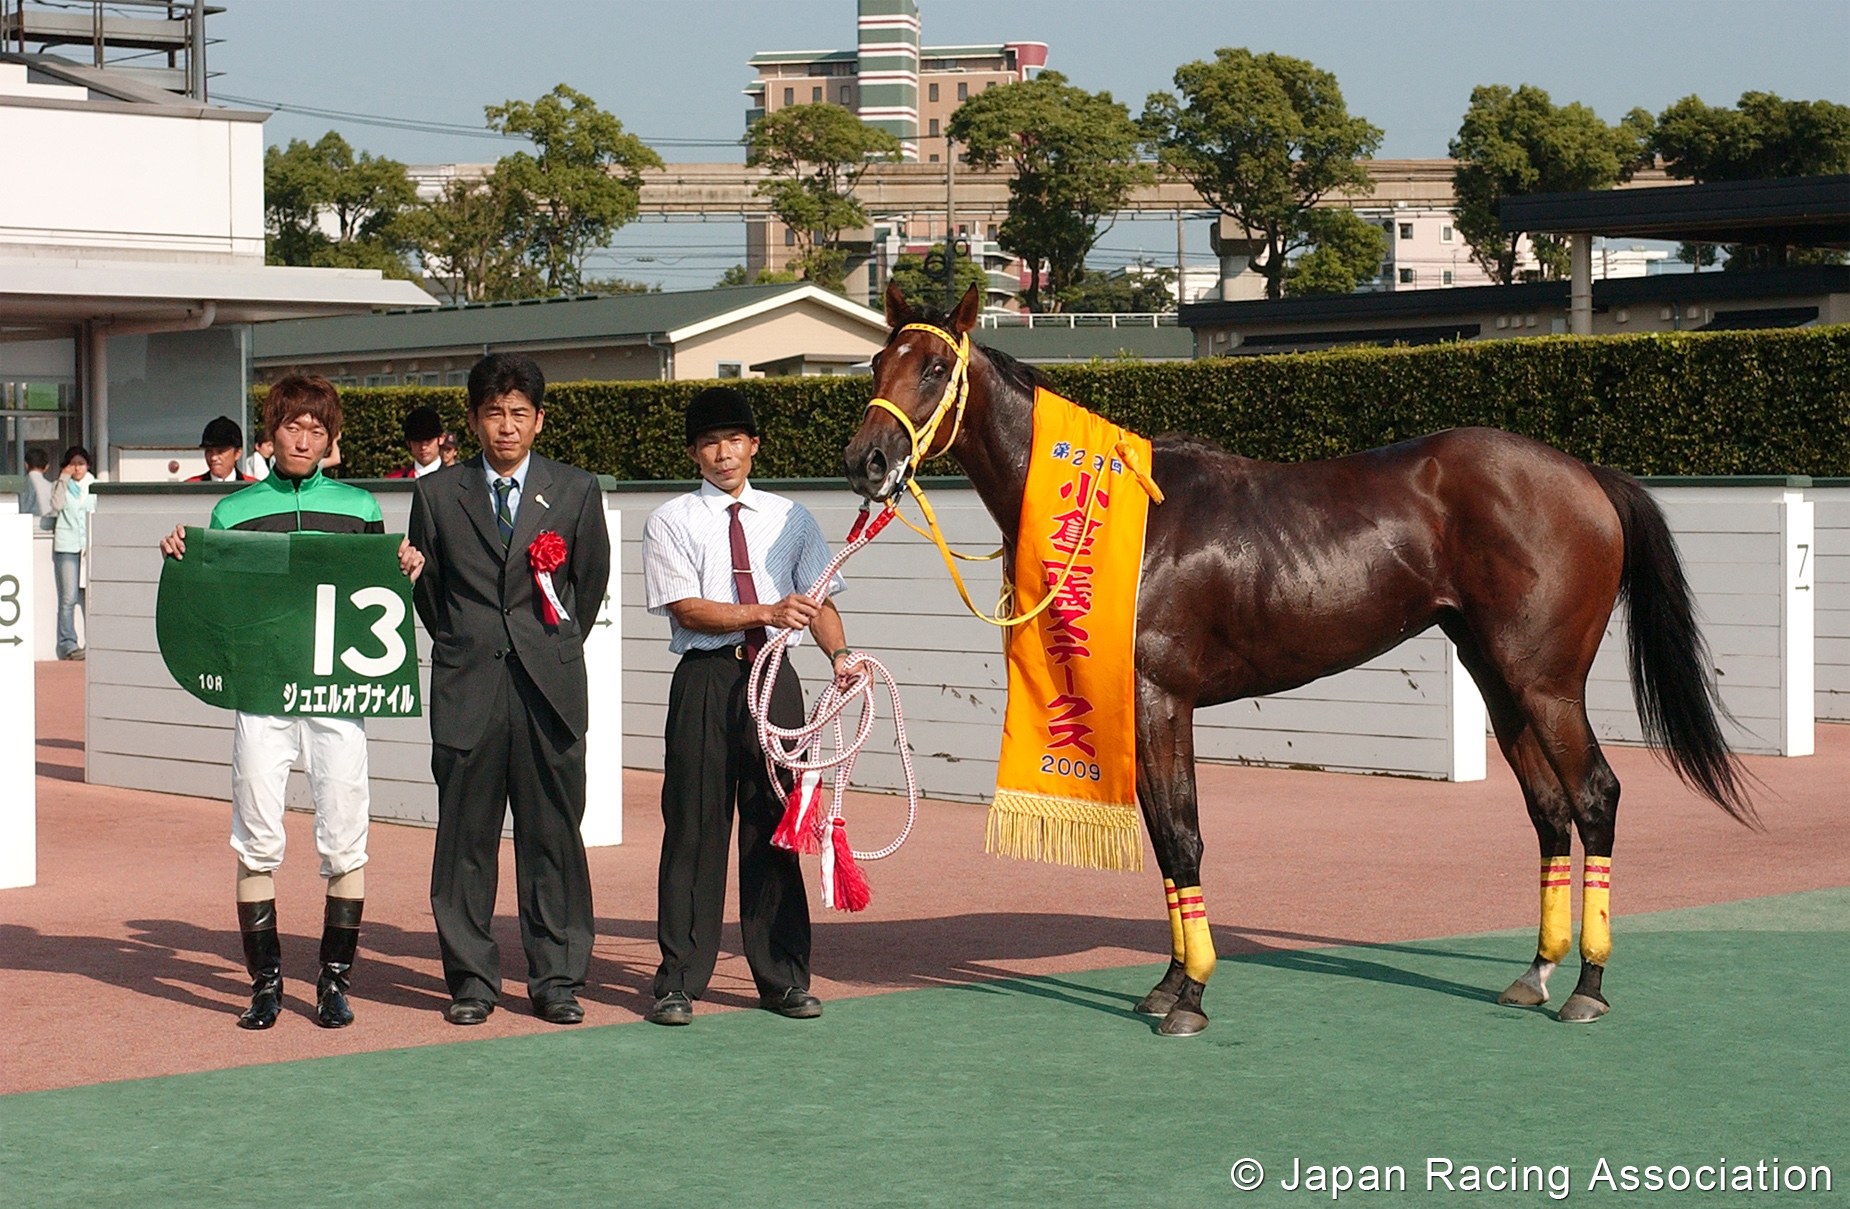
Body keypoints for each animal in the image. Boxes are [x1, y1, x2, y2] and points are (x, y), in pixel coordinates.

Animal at [844, 282, 1752, 1037]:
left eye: (934, 366)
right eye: (878, 361)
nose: (866, 460)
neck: (1129, 521)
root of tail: (1587, 476)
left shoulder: (1160, 695)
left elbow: (1183, 835)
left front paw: (1191, 993)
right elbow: (1166, 837)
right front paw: (1167, 983)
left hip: (1548, 681)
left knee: (1595, 795)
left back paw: (1589, 987)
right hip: (1500, 680)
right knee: (1548, 809)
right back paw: (1537, 972)